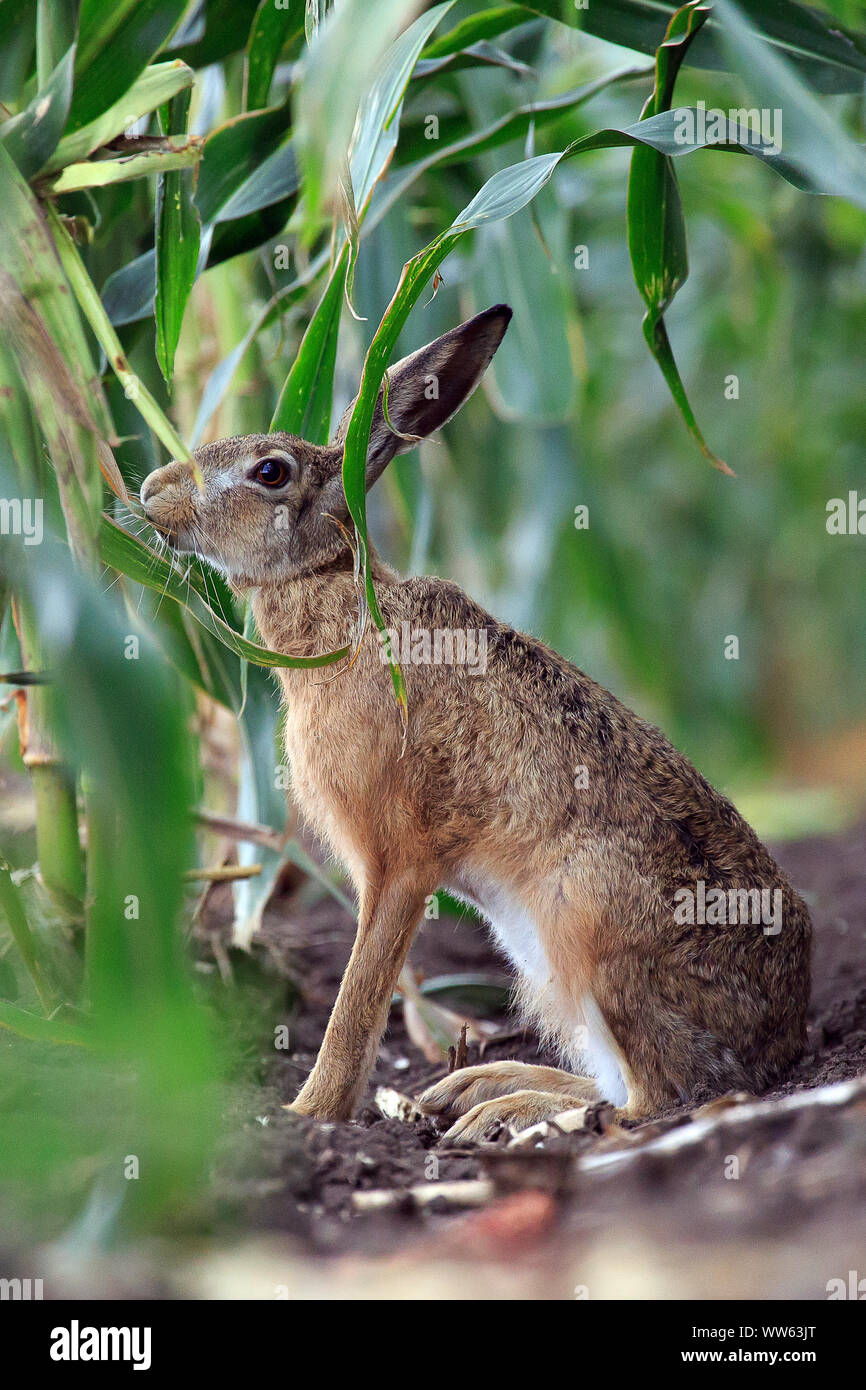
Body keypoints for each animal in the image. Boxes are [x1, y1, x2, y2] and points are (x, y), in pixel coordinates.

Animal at [140, 304, 812, 1143]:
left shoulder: (398, 861)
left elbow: (359, 996)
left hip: (589, 926)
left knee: (652, 1101)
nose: (148, 492)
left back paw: (509, 1111)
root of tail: (782, 1041)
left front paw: (310, 1112)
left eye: (270, 472)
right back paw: (476, 1089)